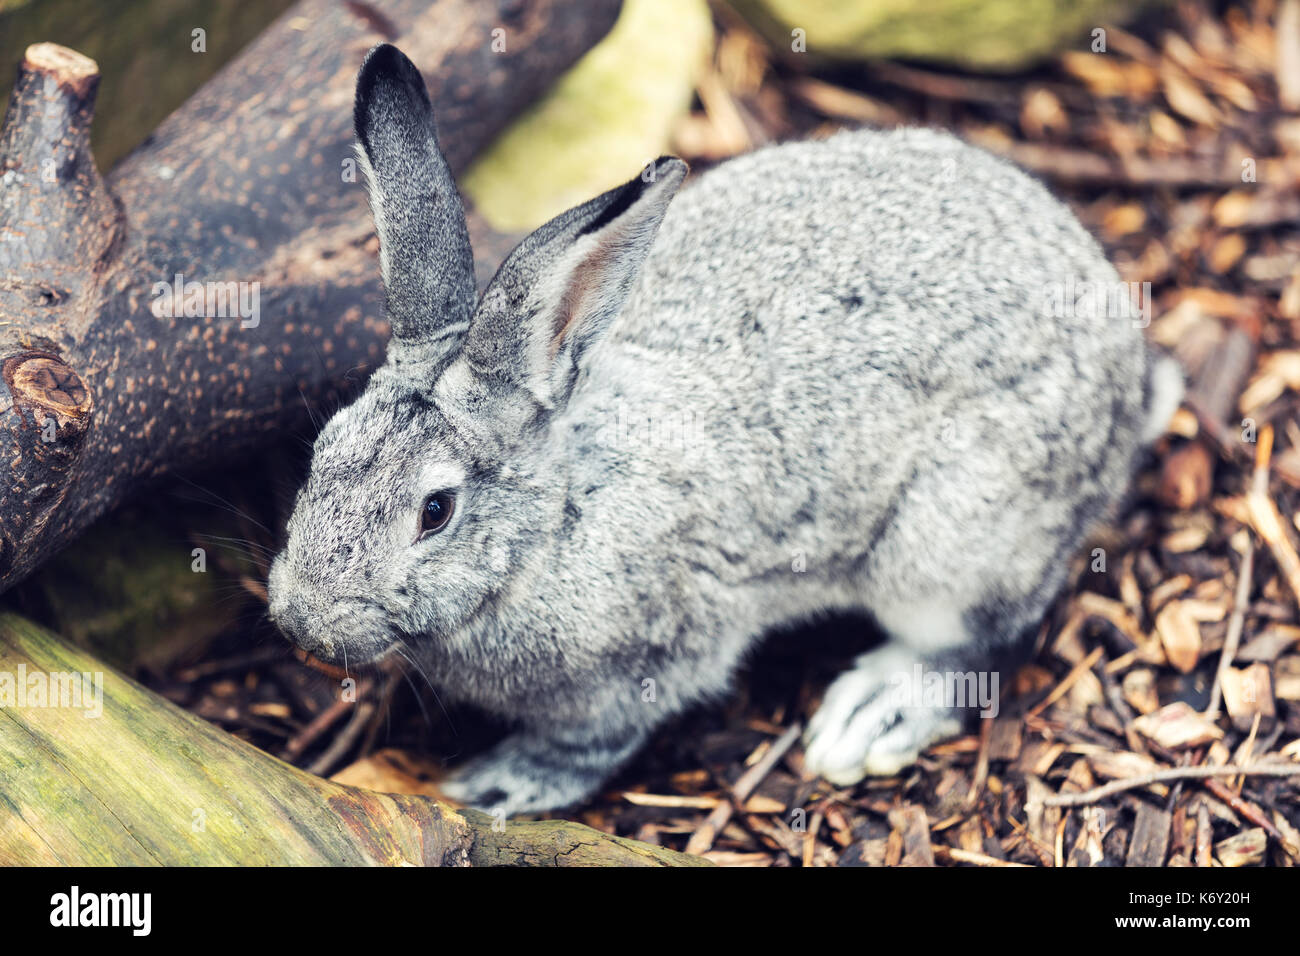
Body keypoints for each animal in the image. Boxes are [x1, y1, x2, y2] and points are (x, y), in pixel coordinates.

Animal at [267, 43, 1183, 816]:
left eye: (436, 512)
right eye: (321, 453)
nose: (301, 621)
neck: (555, 524)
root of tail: (1129, 381)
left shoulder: (644, 665)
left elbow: (594, 742)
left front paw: (499, 786)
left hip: (948, 542)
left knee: (982, 643)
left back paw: (871, 713)